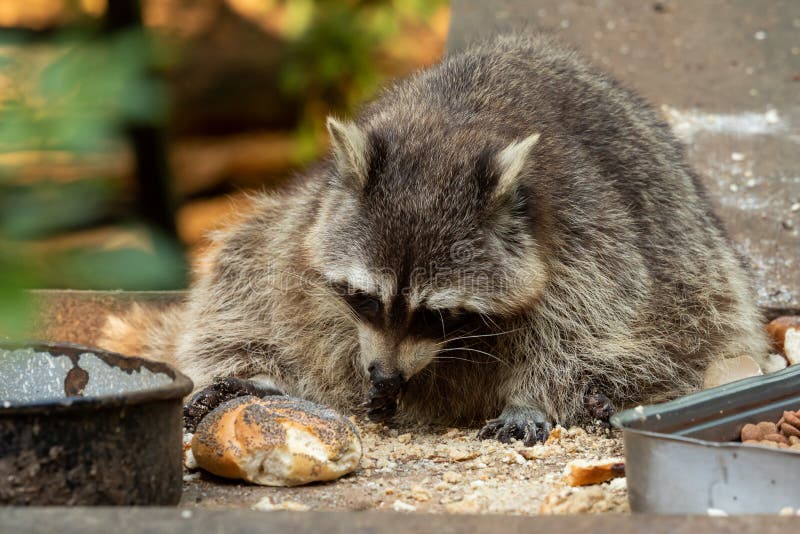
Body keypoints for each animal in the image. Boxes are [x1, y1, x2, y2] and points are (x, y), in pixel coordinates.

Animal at [106, 33, 771, 444]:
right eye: (365, 299)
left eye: (439, 316)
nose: (384, 378)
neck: (449, 129)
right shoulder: (313, 221)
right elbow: (289, 296)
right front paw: (306, 374)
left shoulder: (590, 236)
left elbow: (586, 331)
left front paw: (533, 396)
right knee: (244, 264)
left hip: (696, 263)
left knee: (685, 326)